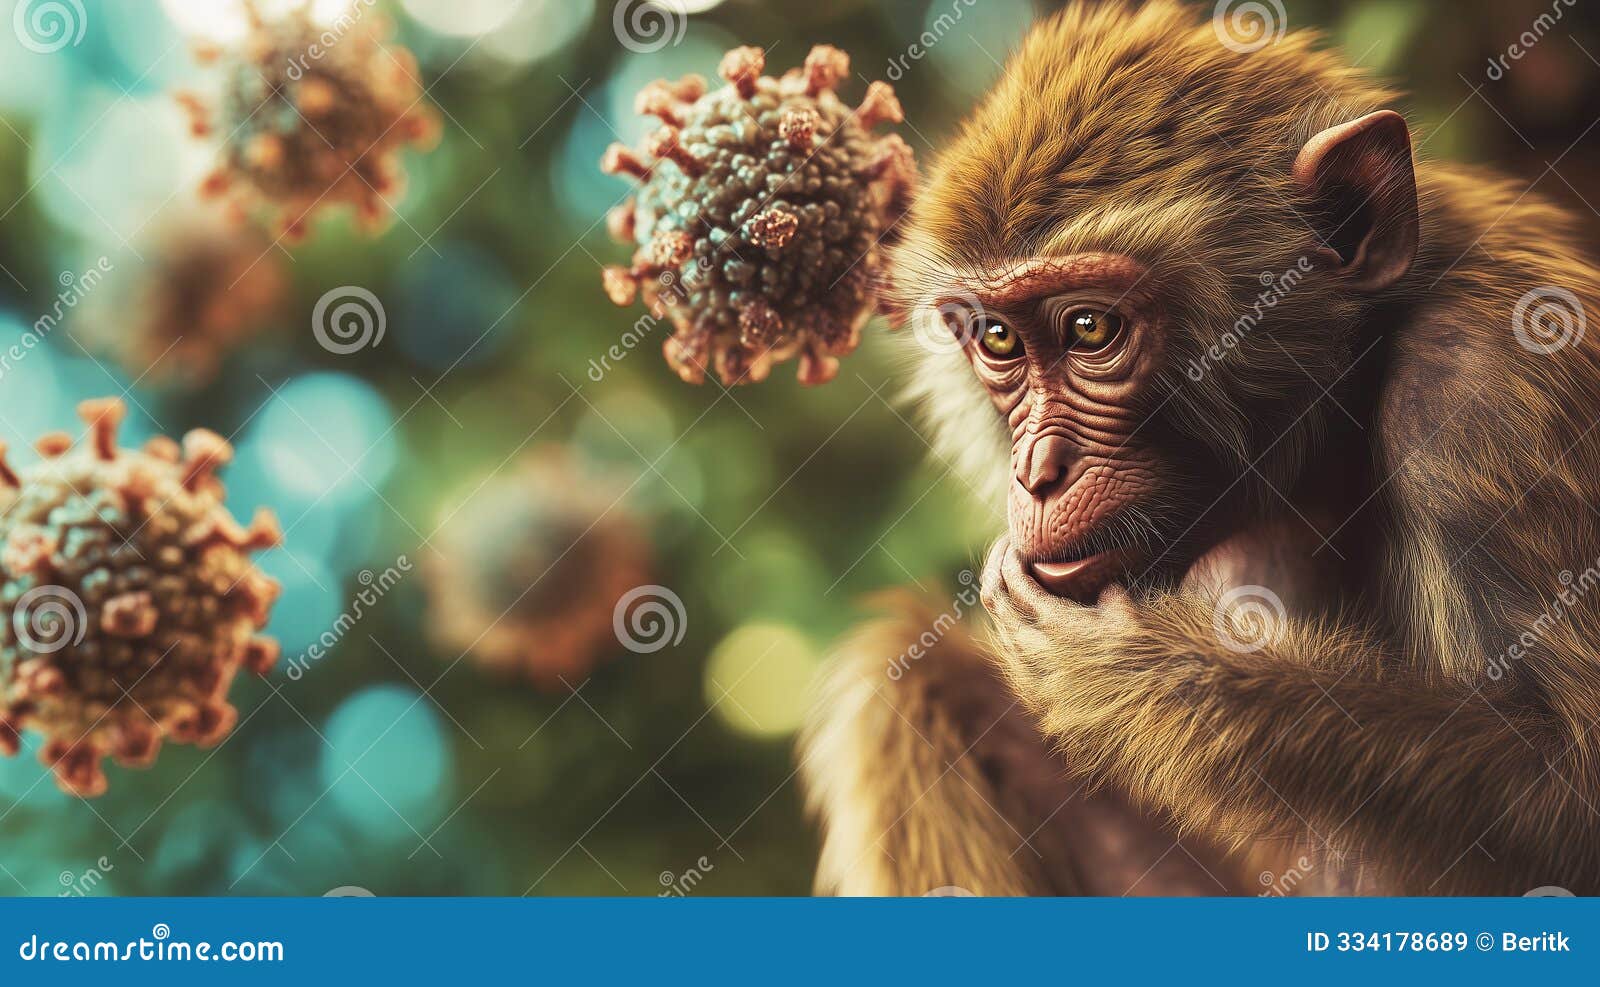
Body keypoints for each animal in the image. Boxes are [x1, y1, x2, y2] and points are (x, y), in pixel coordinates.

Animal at [800, 0, 1600, 896]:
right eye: (999, 338)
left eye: (1090, 328)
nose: (1038, 472)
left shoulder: (1481, 387)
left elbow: (1568, 786)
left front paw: (1130, 669)